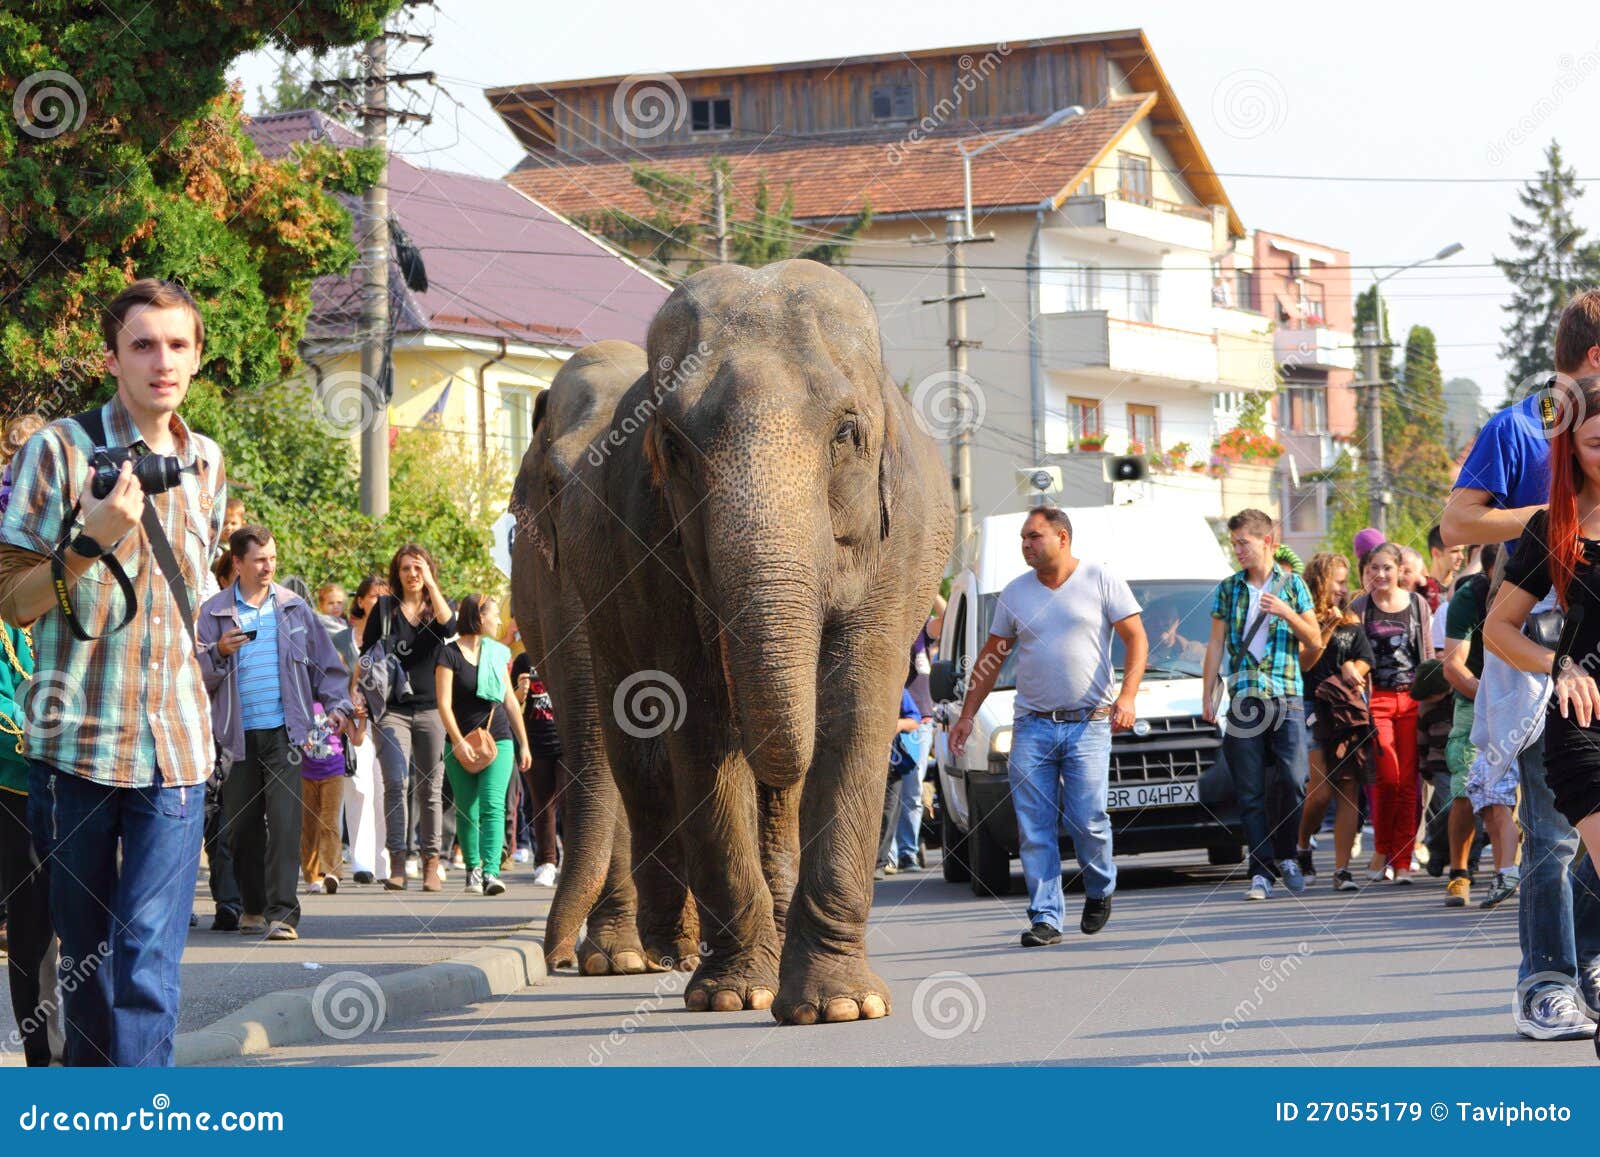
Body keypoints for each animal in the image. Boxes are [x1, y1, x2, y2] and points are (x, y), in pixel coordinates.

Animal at [545, 259, 953, 1024]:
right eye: (673, 446)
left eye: (846, 432)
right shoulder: (655, 553)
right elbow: (699, 722)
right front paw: (734, 994)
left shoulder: (900, 548)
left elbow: (855, 713)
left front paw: (839, 1007)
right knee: (636, 749)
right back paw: (666, 946)